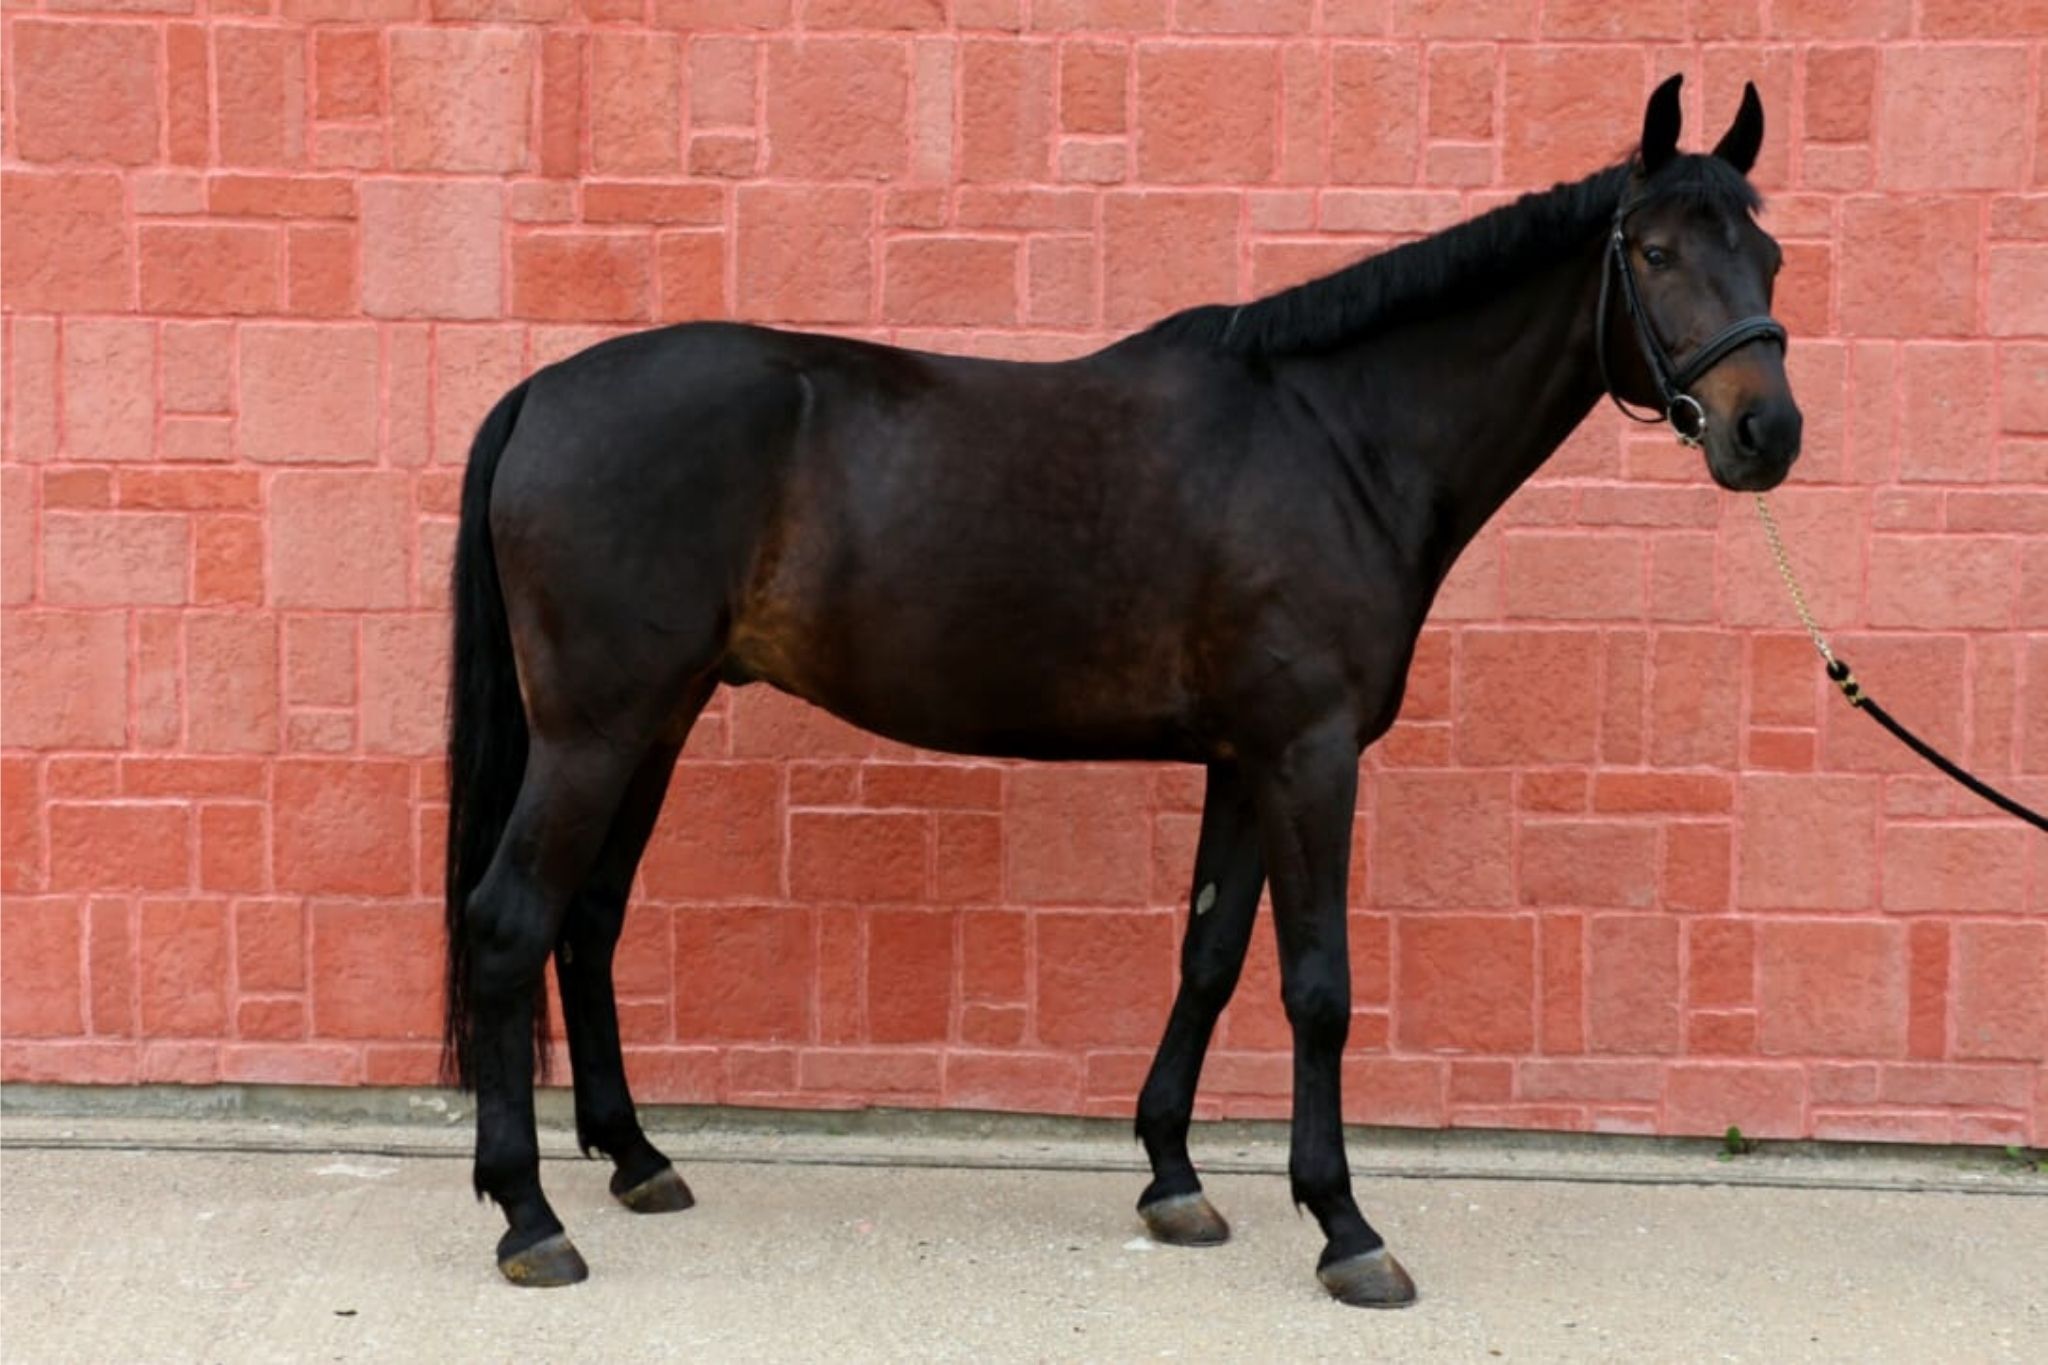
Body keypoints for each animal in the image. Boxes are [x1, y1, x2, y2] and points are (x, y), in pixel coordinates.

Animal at [440, 73, 1800, 1306]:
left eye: (1770, 257)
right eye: (1656, 251)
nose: (1765, 433)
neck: (1335, 439)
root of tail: (540, 391)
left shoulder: (1245, 759)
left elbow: (1208, 956)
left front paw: (1172, 1179)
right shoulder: (1308, 754)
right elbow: (1316, 986)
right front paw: (1344, 1229)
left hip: (654, 722)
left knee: (587, 920)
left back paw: (636, 1159)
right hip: (594, 731)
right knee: (509, 922)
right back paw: (528, 1217)